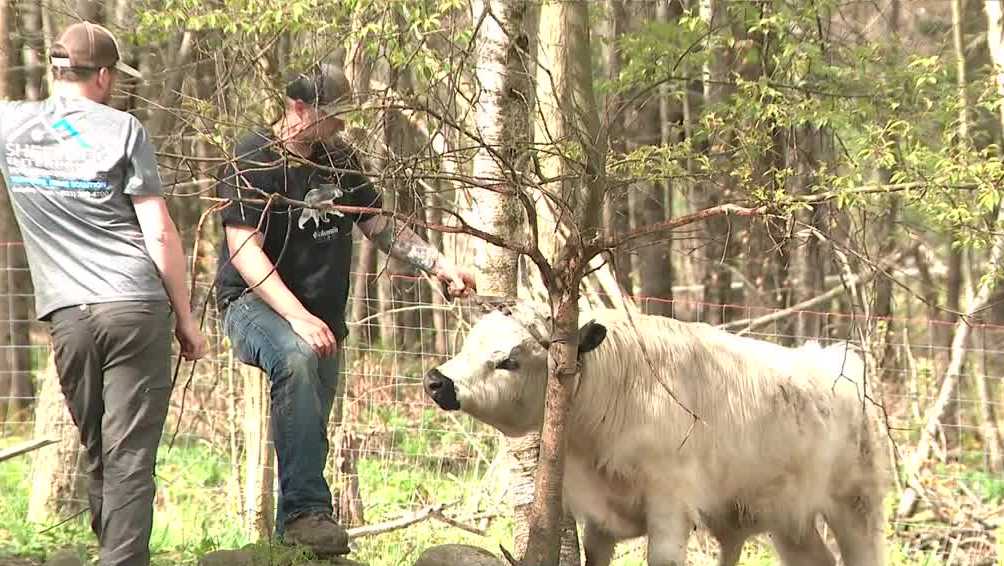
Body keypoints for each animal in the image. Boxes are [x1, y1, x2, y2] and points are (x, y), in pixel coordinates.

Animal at [423, 302, 888, 566]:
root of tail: (835, 357)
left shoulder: (671, 506)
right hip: (789, 518)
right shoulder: (600, 520)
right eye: (469, 344)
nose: (436, 380)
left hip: (855, 505)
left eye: (510, 360)